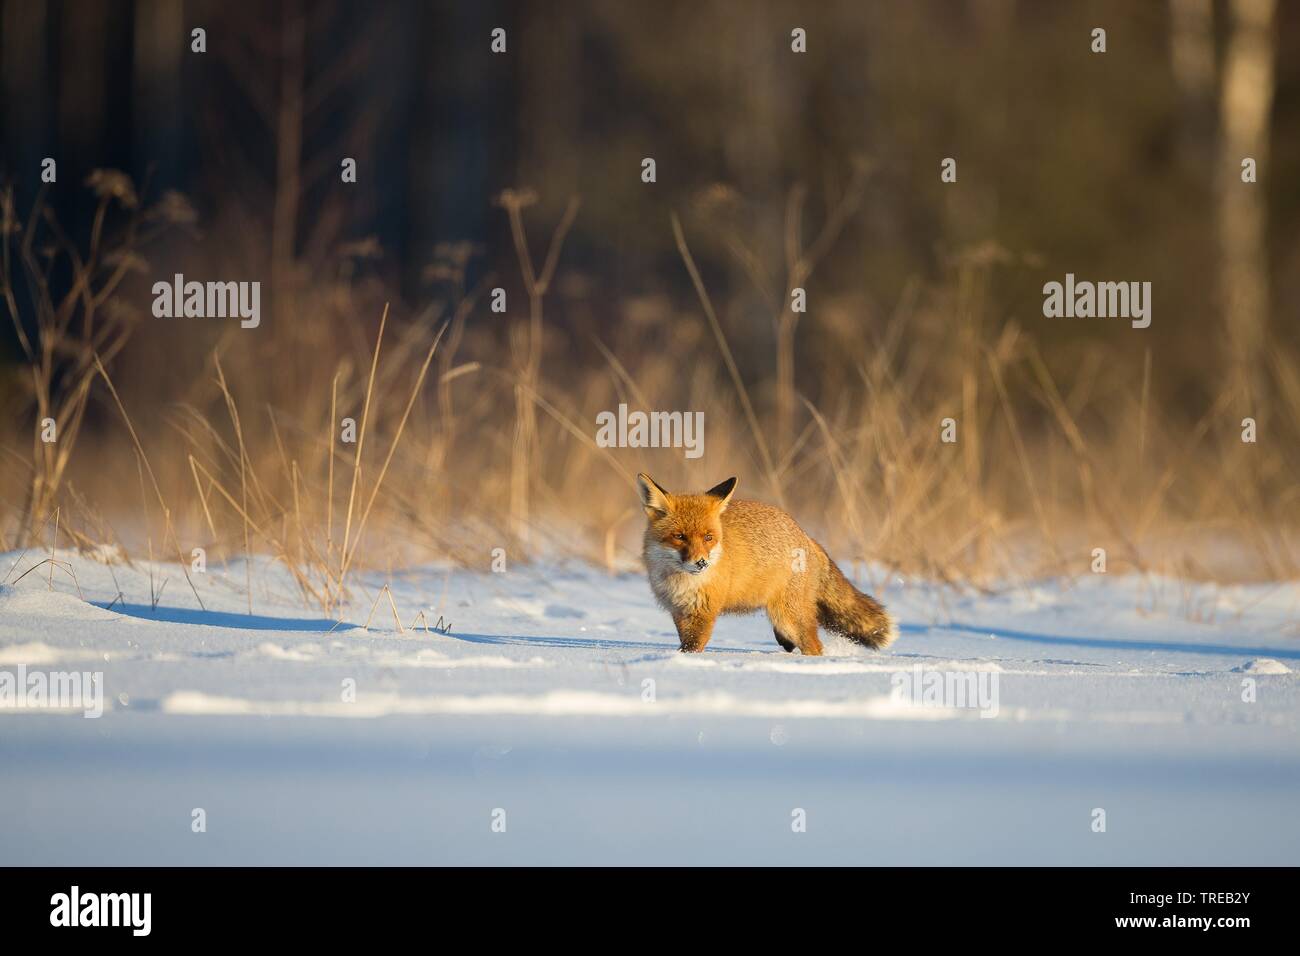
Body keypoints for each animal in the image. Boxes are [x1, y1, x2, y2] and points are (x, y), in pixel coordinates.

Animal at [637, 473, 897, 655]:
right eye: (679, 536)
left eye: (708, 537)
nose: (701, 563)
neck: (681, 581)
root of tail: (806, 536)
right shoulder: (679, 611)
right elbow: (684, 641)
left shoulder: (704, 613)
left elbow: (692, 646)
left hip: (789, 617)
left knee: (814, 646)